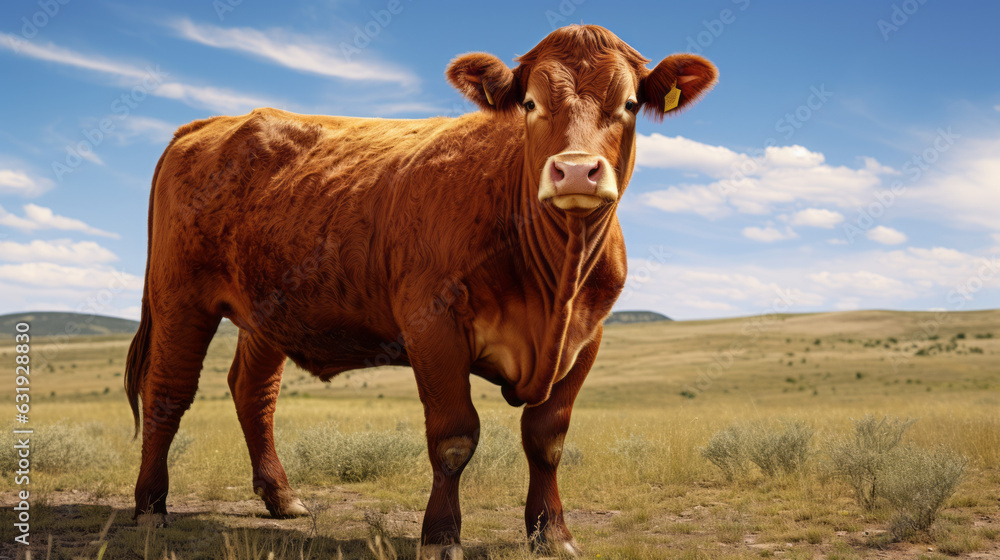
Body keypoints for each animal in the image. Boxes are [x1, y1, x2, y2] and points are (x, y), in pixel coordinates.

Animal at [124, 24, 716, 558]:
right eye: (530, 102)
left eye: (631, 104)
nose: (575, 171)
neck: (555, 281)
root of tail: (210, 122)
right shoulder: (433, 325)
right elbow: (454, 437)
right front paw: (441, 536)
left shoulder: (588, 337)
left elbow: (547, 438)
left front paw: (553, 534)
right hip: (180, 297)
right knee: (167, 393)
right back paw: (150, 508)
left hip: (268, 310)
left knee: (253, 392)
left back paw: (282, 497)